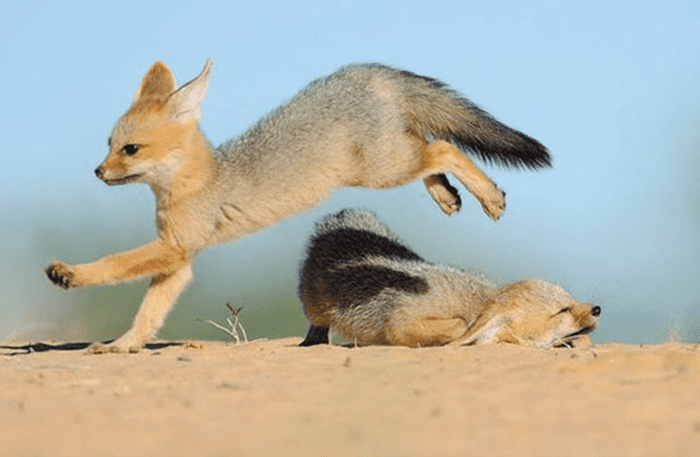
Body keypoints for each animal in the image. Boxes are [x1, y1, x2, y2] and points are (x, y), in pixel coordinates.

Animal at [45, 60, 551, 353]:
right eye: (107, 144)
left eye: (129, 150)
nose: (98, 171)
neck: (199, 180)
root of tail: (360, 70)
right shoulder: (180, 260)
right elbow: (149, 312)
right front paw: (125, 344)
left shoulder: (173, 247)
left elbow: (113, 264)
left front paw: (69, 274)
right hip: (390, 160)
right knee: (431, 145)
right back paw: (447, 194)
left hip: (380, 170)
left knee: (443, 146)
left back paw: (489, 195)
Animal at [299, 209, 600, 348]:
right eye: (562, 310)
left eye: (572, 300)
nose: (597, 309)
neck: (481, 300)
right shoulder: (400, 321)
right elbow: (459, 327)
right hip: (315, 305)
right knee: (317, 321)